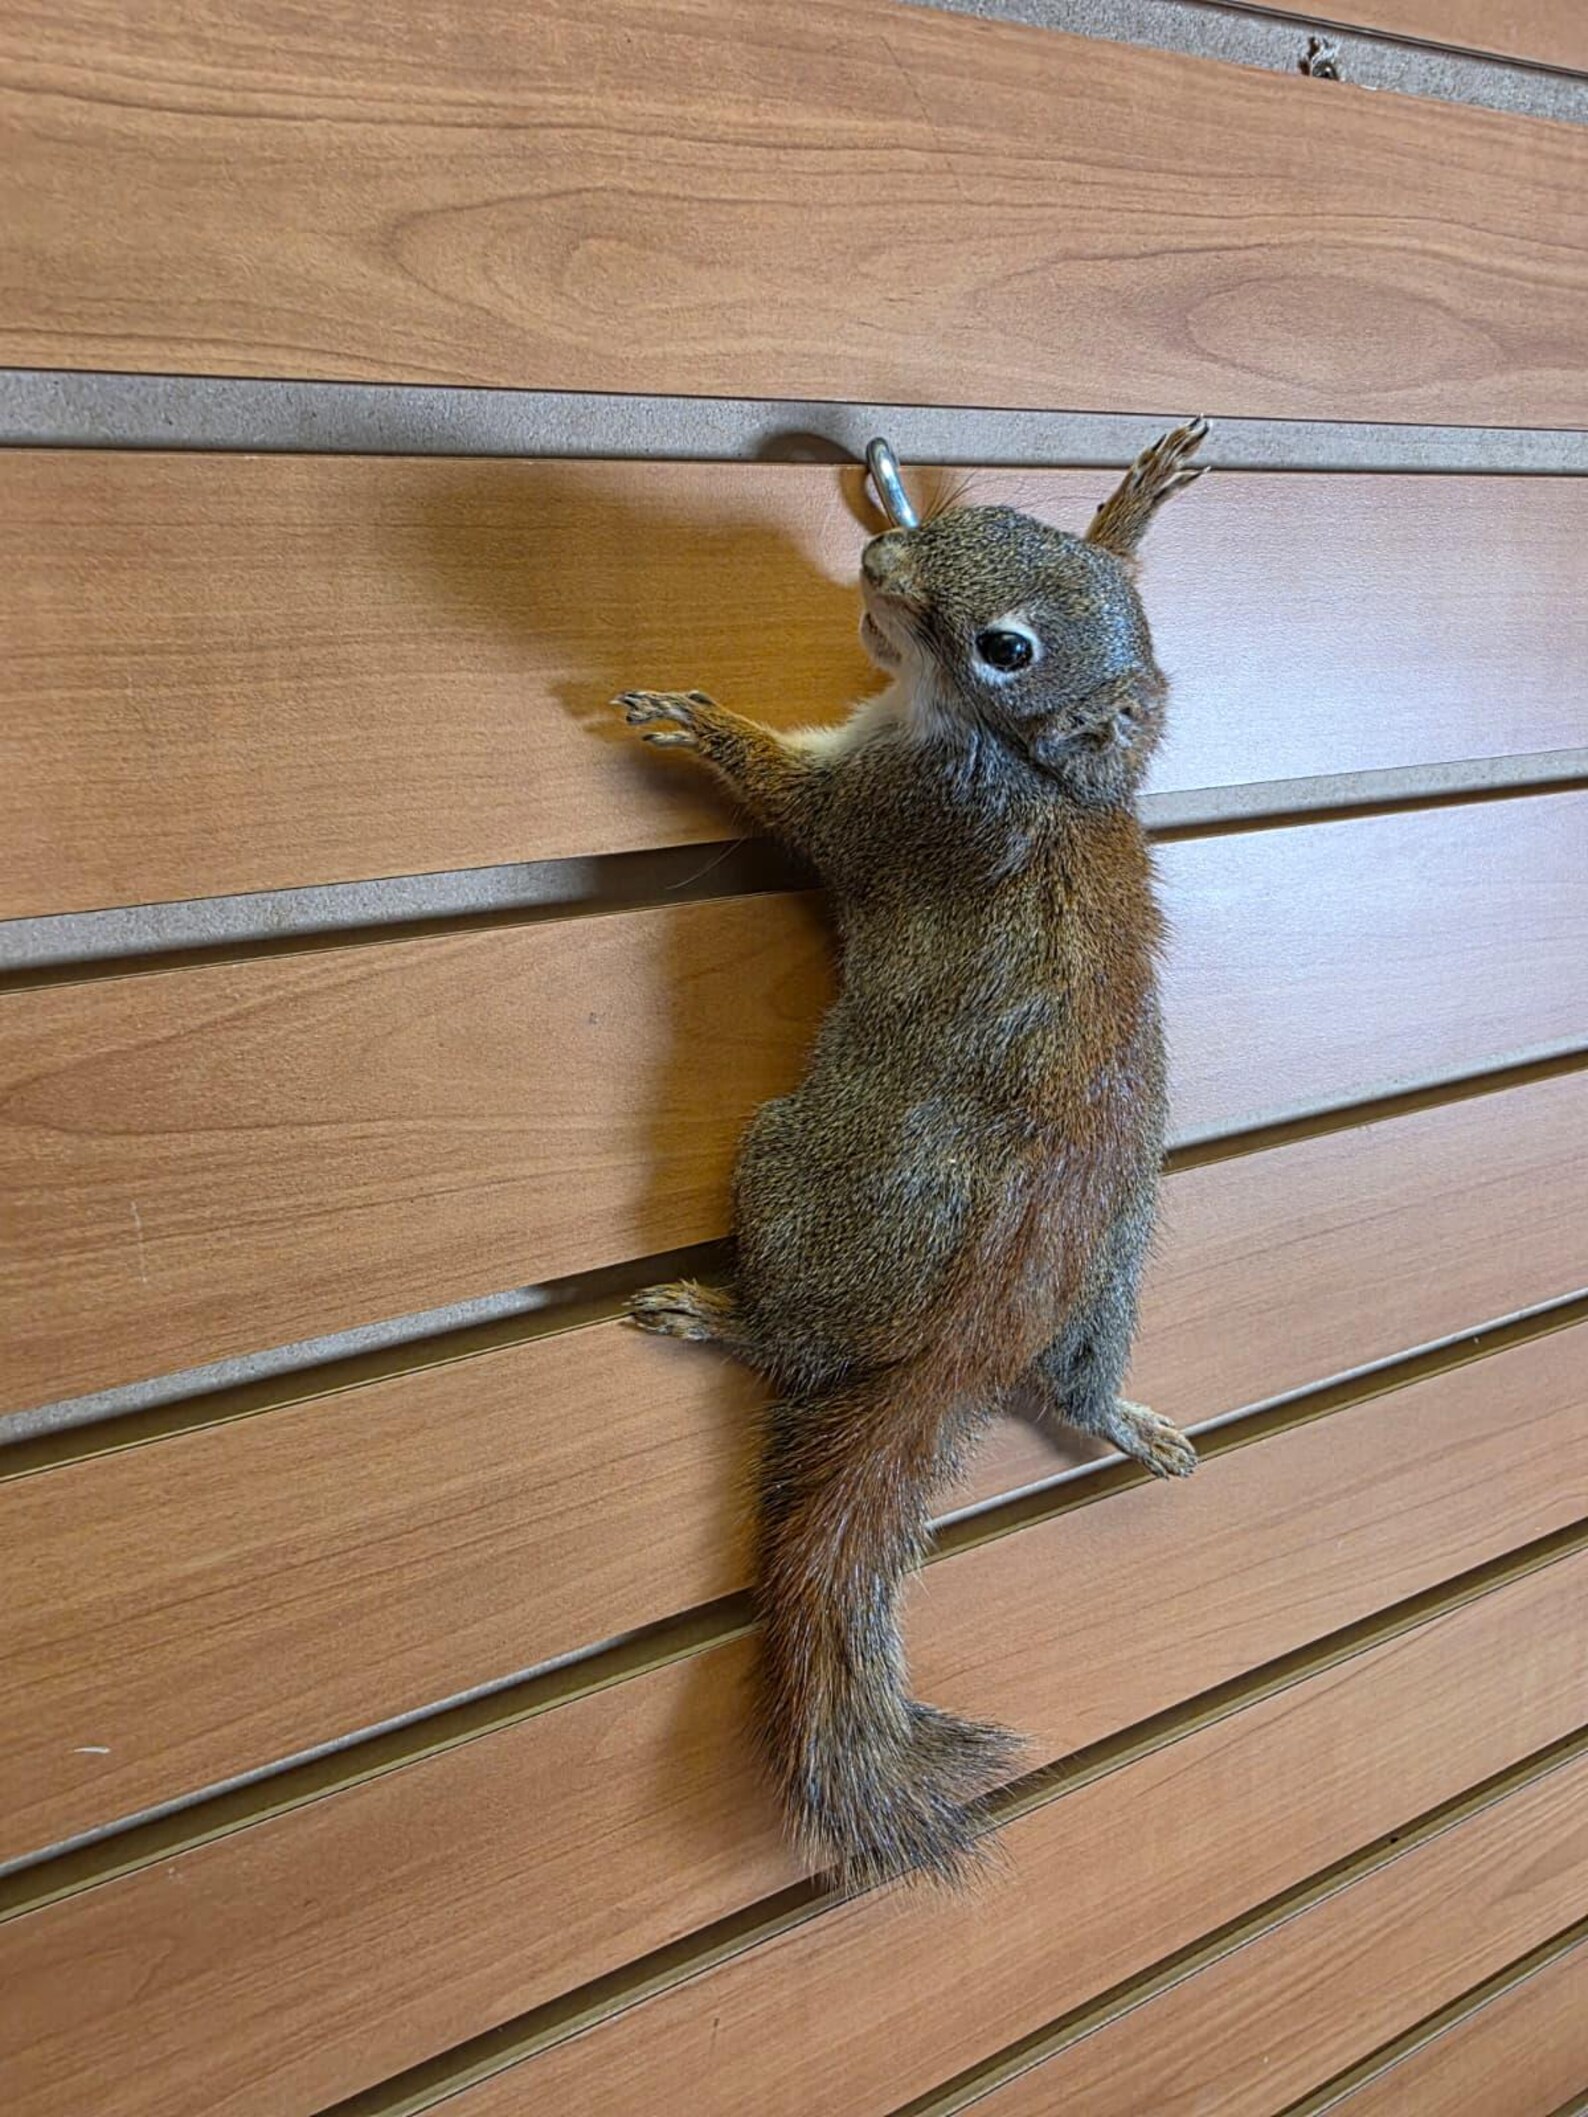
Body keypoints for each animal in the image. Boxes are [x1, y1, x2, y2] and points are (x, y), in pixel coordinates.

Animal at [612, 417, 1208, 1890]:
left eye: (1007, 646)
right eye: (997, 516)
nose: (879, 564)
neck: (1031, 768)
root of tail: (961, 1341)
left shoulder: (896, 806)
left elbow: (791, 798)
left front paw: (702, 724)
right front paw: (1131, 503)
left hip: (795, 1173)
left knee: (794, 1344)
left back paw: (722, 1317)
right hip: (1111, 1269)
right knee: (1068, 1381)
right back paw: (1114, 1410)